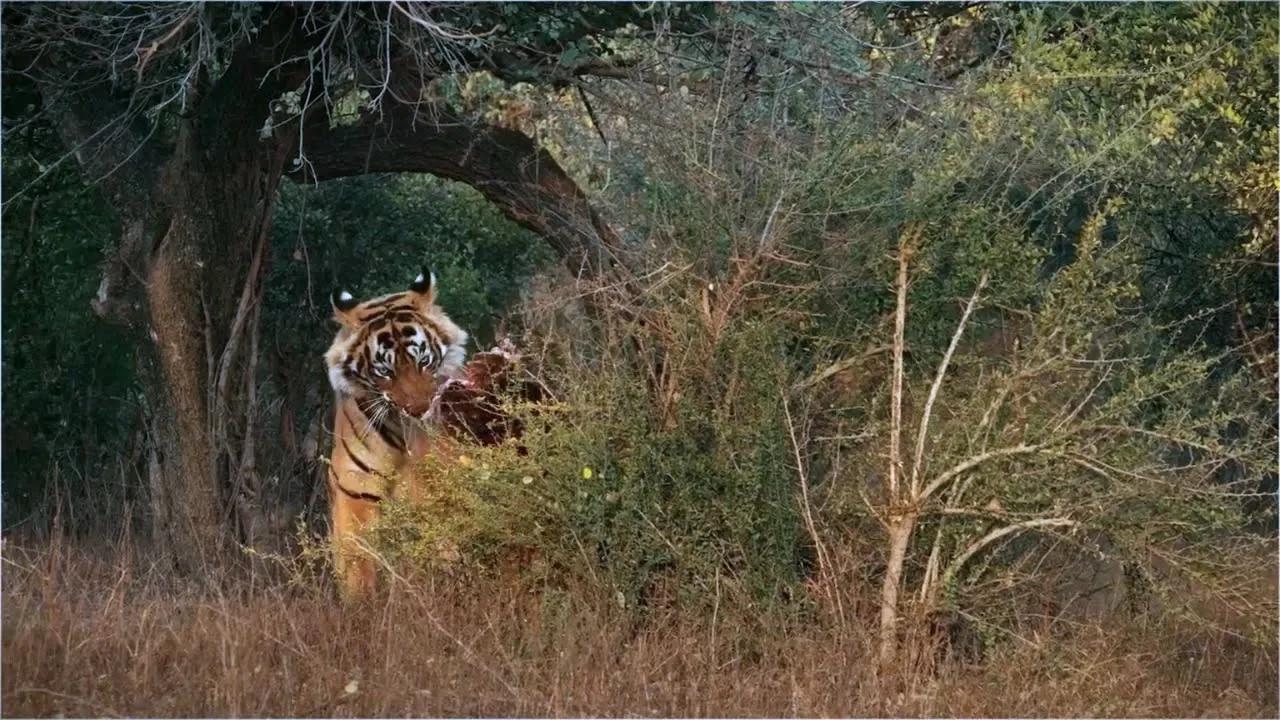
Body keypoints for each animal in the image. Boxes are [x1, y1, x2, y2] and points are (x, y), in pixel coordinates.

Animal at [323, 267, 468, 601]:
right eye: (384, 371)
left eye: (423, 361)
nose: (418, 409)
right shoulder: (356, 489)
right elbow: (358, 558)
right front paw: (362, 603)